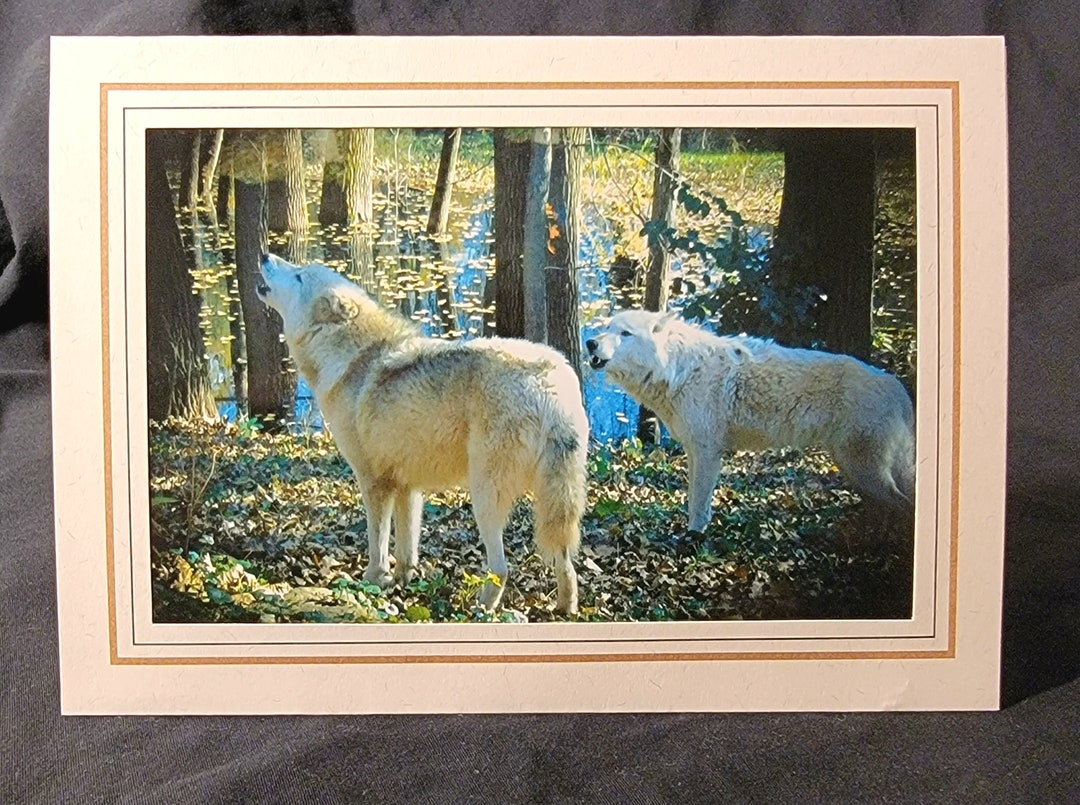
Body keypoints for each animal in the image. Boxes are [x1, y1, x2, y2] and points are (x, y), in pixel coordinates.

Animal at [257, 253, 588, 613]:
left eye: (299, 276)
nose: (265, 255)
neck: (350, 356)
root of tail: (550, 382)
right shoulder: (406, 485)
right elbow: (407, 546)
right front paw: (402, 581)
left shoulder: (373, 481)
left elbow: (377, 543)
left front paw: (373, 581)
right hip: (552, 504)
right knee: (567, 563)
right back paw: (565, 609)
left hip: (484, 496)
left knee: (501, 567)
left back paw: (481, 608)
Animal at [586, 309, 915, 532]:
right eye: (606, 328)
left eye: (625, 333)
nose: (589, 342)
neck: (676, 369)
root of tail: (896, 386)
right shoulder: (695, 451)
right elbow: (695, 499)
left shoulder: (707, 452)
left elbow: (697, 503)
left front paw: (693, 537)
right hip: (857, 468)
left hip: (862, 468)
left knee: (904, 504)